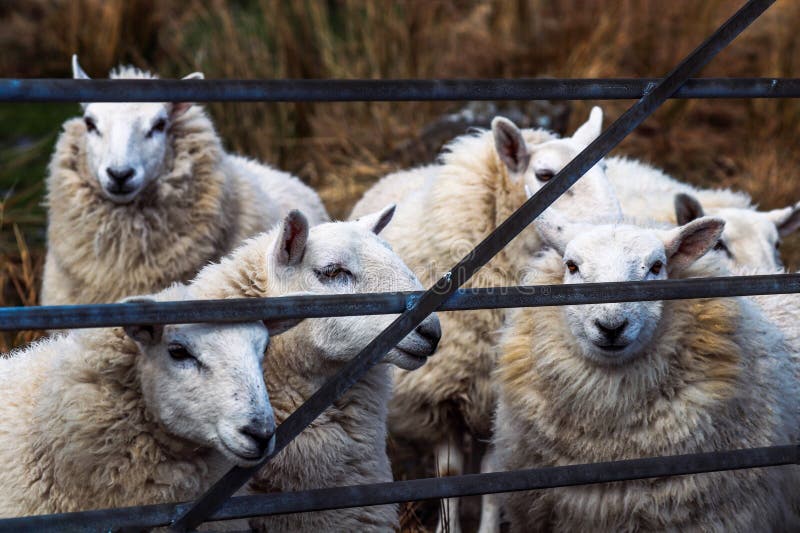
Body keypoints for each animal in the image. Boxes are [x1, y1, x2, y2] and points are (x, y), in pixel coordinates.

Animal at [350, 107, 622, 533]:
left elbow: (492, 477)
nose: (611, 231)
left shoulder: (498, 396)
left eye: (605, 168)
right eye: (545, 175)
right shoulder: (440, 397)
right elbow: (448, 475)